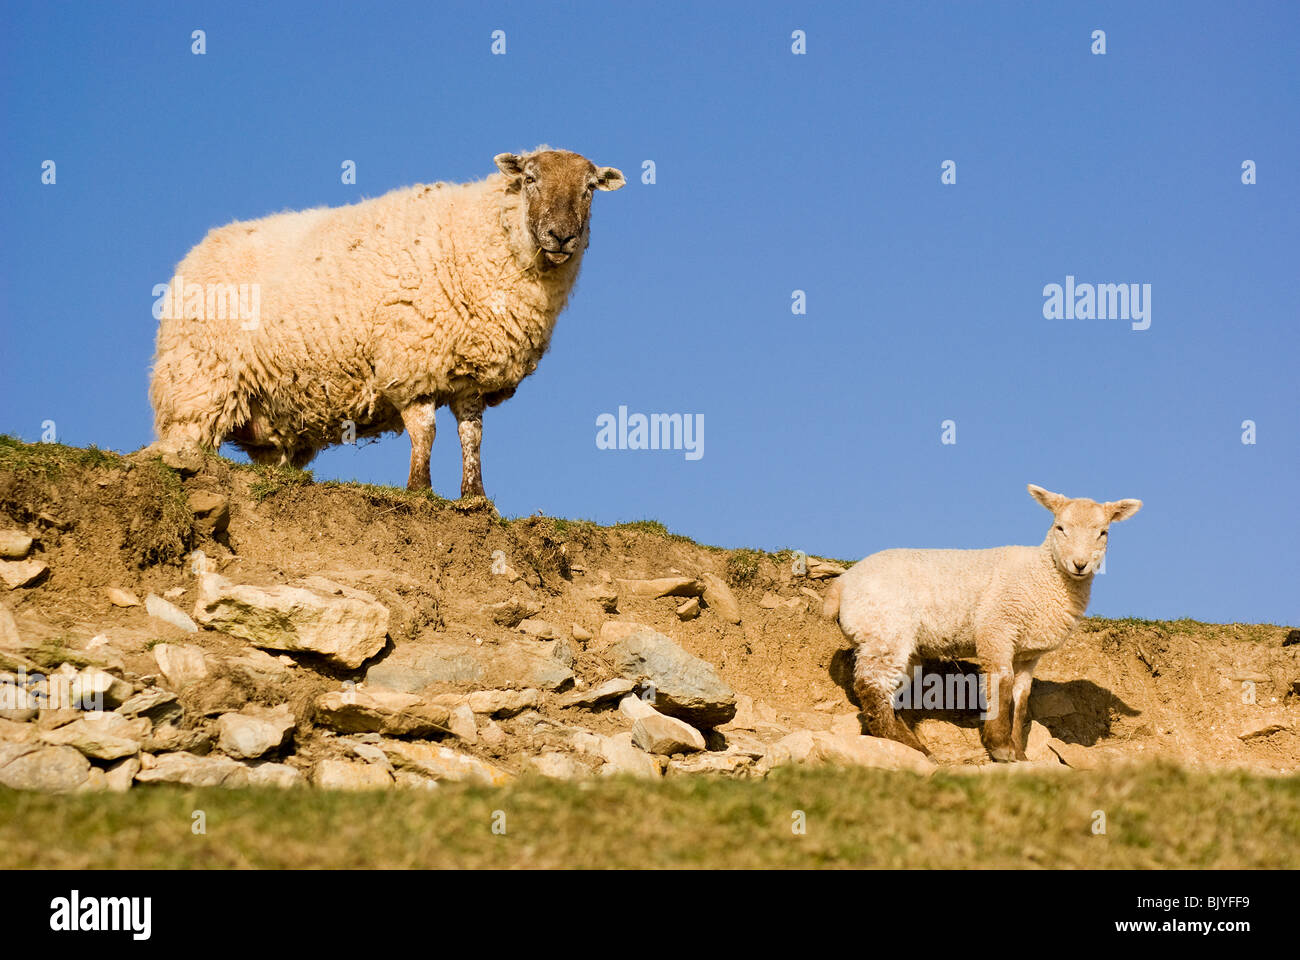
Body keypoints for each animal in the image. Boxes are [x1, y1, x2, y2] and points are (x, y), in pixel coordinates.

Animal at [149, 147, 626, 496]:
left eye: (589, 189)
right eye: (530, 179)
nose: (561, 236)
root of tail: (200, 248)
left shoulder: (467, 372)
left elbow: (472, 434)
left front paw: (475, 497)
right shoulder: (411, 357)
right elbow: (425, 430)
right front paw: (420, 489)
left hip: (271, 411)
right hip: (196, 385)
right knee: (184, 441)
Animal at [823, 485, 1142, 761]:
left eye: (1103, 532)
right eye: (1060, 528)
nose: (1080, 564)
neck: (1043, 575)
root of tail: (843, 583)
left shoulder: (1028, 653)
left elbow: (1021, 697)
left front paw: (1019, 752)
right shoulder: (997, 626)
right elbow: (1002, 681)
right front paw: (1000, 746)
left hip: (893, 641)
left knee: (888, 693)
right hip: (885, 630)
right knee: (871, 688)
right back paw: (909, 747)